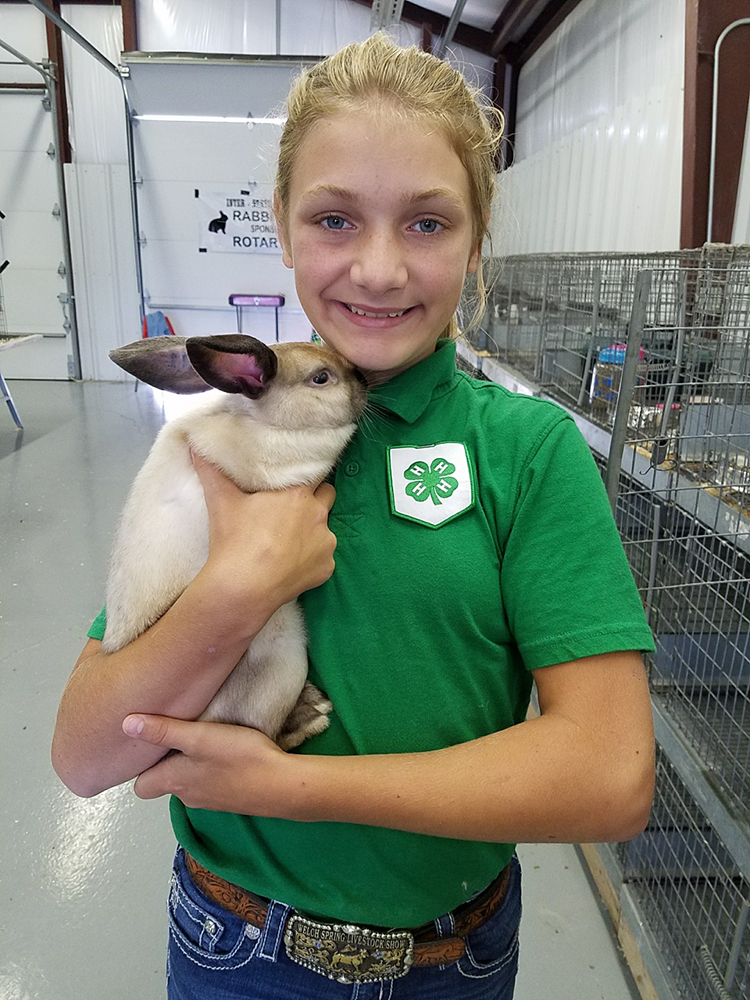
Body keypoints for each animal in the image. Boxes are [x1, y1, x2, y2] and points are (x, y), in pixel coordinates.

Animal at [103, 334, 367, 749]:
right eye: (321, 378)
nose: (364, 381)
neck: (253, 419)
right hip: (285, 653)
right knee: (270, 734)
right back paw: (314, 715)